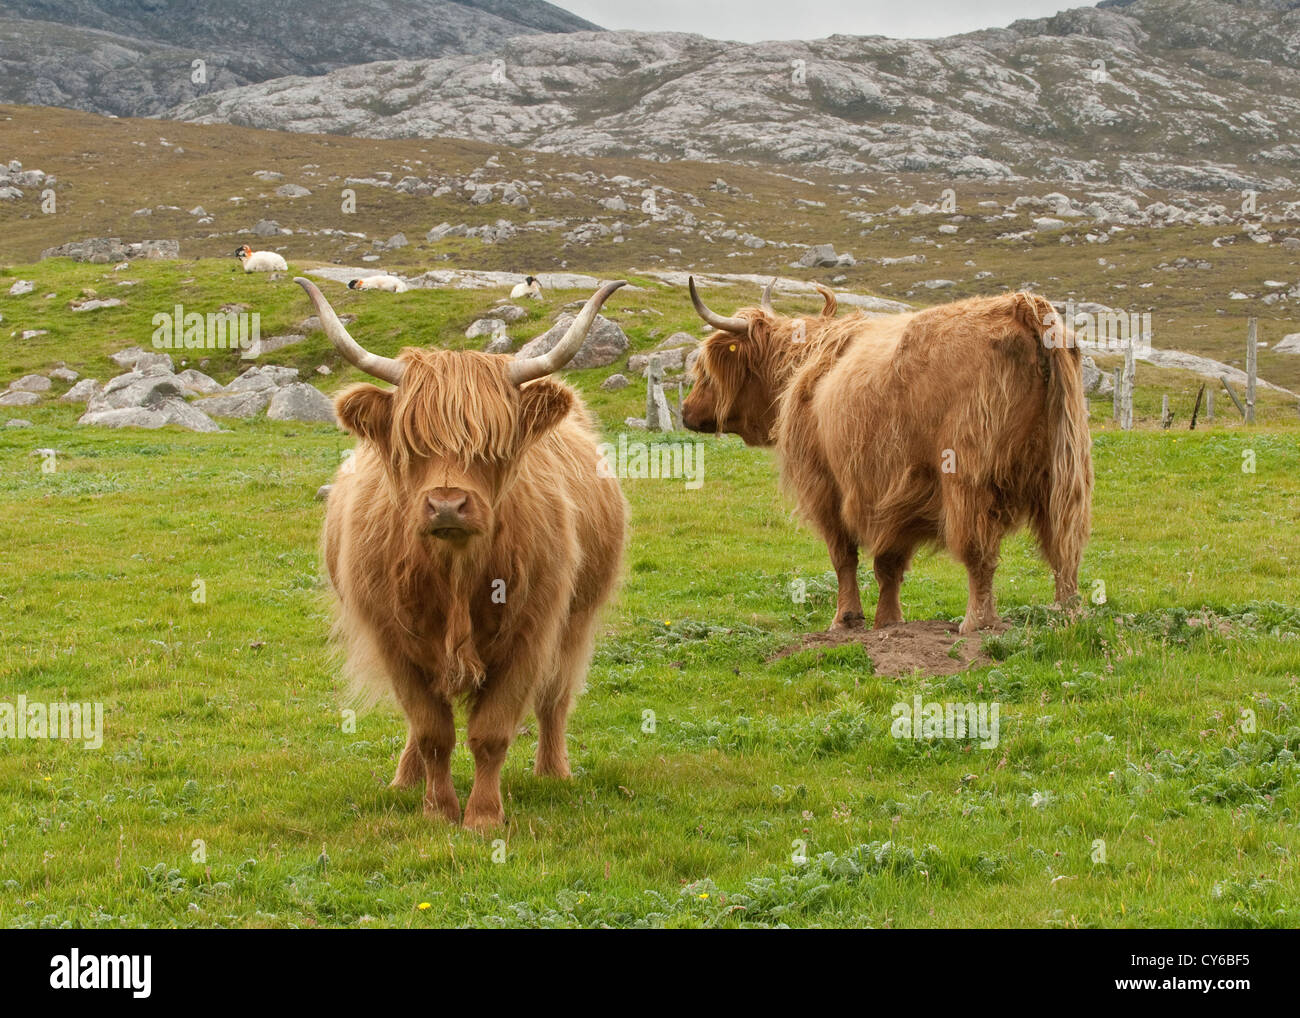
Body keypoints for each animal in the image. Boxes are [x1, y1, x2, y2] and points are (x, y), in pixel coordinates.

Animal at [296, 277, 628, 830]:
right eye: (412, 445)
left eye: (493, 446)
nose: (447, 504)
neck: (454, 572)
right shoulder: (392, 639)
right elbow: (432, 731)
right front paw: (436, 810)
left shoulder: (530, 634)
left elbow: (491, 733)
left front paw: (483, 816)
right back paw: (404, 779)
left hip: (575, 621)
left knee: (555, 698)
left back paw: (554, 771)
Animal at [681, 278, 1092, 635]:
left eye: (703, 370)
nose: (685, 410)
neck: (806, 365)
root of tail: (1020, 305)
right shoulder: (895, 494)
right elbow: (888, 565)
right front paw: (890, 621)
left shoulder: (827, 486)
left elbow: (844, 556)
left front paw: (845, 619)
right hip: (1064, 474)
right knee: (1064, 550)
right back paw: (1066, 618)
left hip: (968, 479)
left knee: (980, 552)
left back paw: (977, 623)